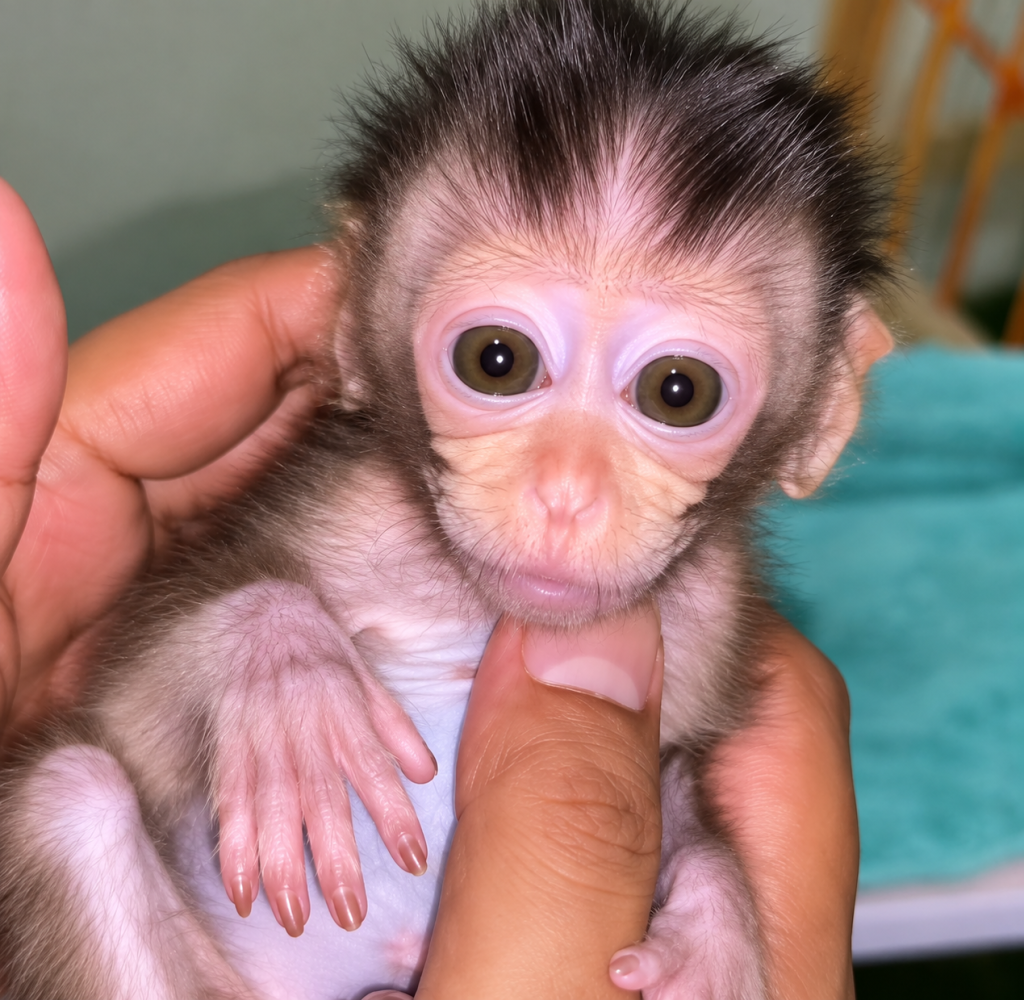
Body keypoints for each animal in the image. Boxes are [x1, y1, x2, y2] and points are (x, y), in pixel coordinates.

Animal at [0, 1, 894, 998]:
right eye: (495, 360)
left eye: (678, 391)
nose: (566, 494)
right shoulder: (340, 499)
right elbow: (125, 711)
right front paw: (285, 675)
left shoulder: (709, 619)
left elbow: (685, 795)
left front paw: (715, 924)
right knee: (71, 792)